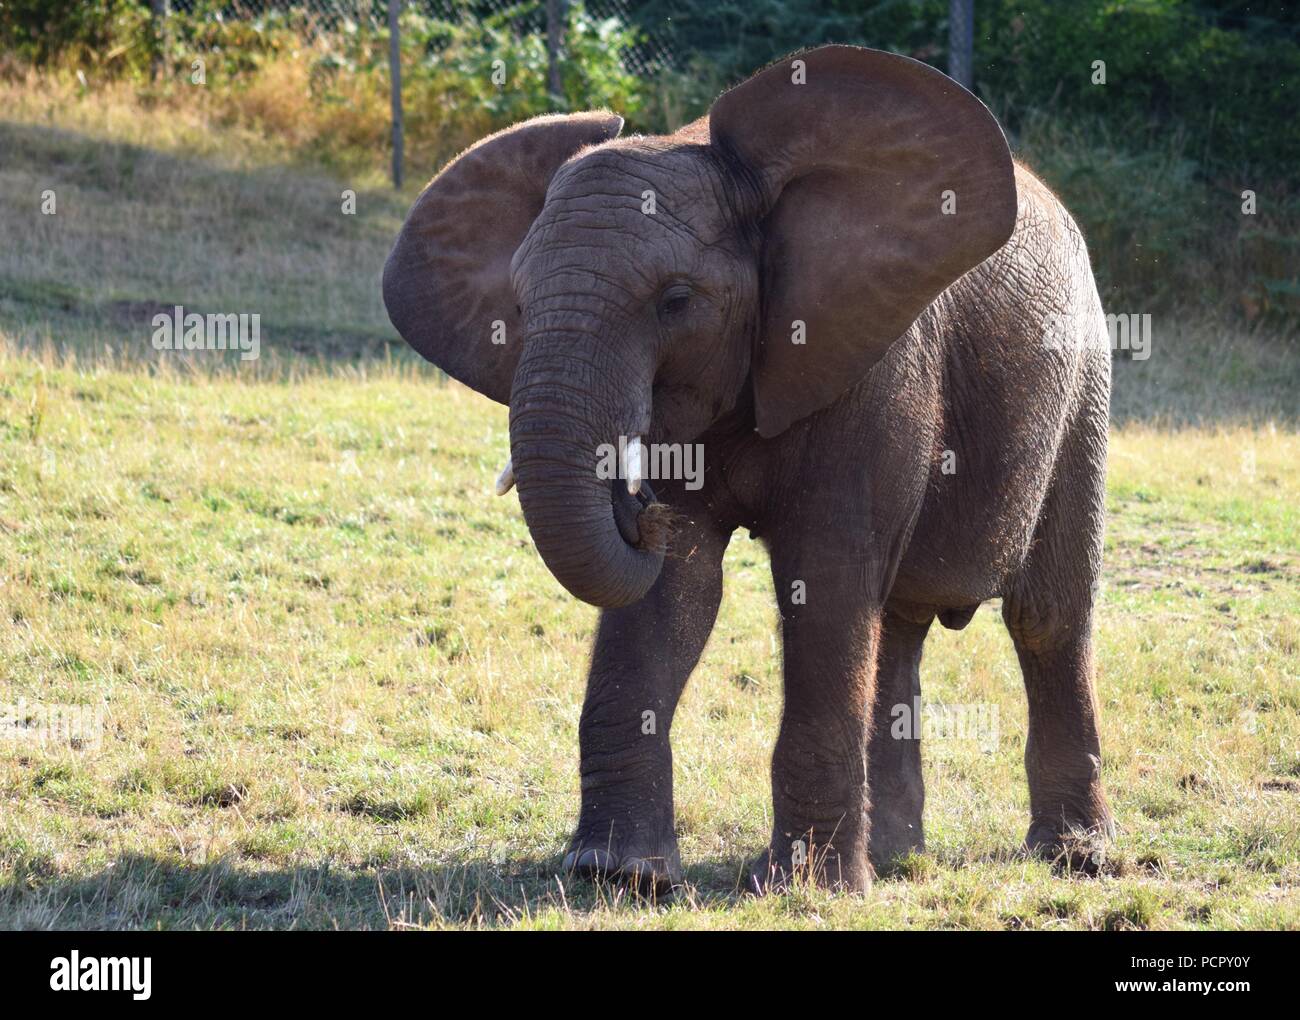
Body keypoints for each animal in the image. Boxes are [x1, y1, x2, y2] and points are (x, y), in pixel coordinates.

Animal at [379, 45, 1112, 893]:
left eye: (676, 299)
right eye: (521, 307)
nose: (635, 505)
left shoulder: (874, 362)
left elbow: (824, 580)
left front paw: (806, 889)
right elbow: (679, 590)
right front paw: (621, 875)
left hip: (1084, 383)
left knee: (1048, 617)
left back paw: (1075, 857)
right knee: (896, 625)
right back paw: (896, 857)